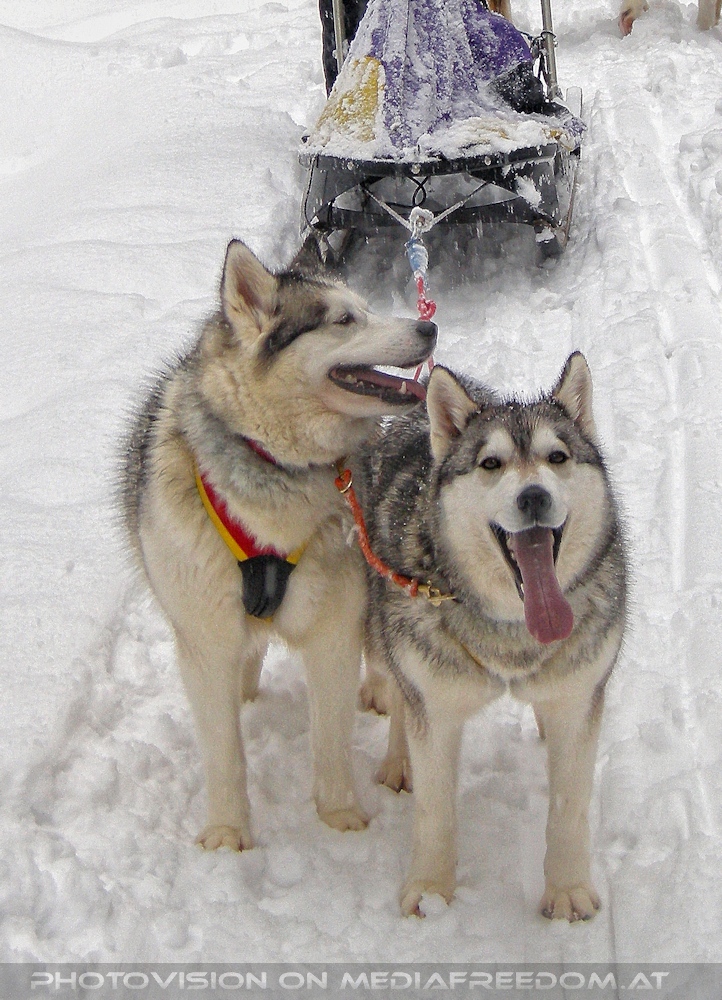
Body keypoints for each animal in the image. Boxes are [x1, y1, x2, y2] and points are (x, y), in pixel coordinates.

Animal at [121, 239, 436, 851]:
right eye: (344, 320)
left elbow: (331, 739)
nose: (428, 328)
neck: (275, 465)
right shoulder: (205, 637)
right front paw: (226, 834)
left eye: (366, 306)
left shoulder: (333, 630)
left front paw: (339, 817)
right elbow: (224, 752)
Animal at [352, 354, 627, 920]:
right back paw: (398, 761)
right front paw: (430, 892)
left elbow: (569, 807)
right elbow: (435, 809)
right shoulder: (433, 703)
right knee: (397, 690)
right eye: (491, 464)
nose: (534, 496)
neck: (513, 630)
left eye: (557, 456)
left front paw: (567, 892)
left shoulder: (580, 699)